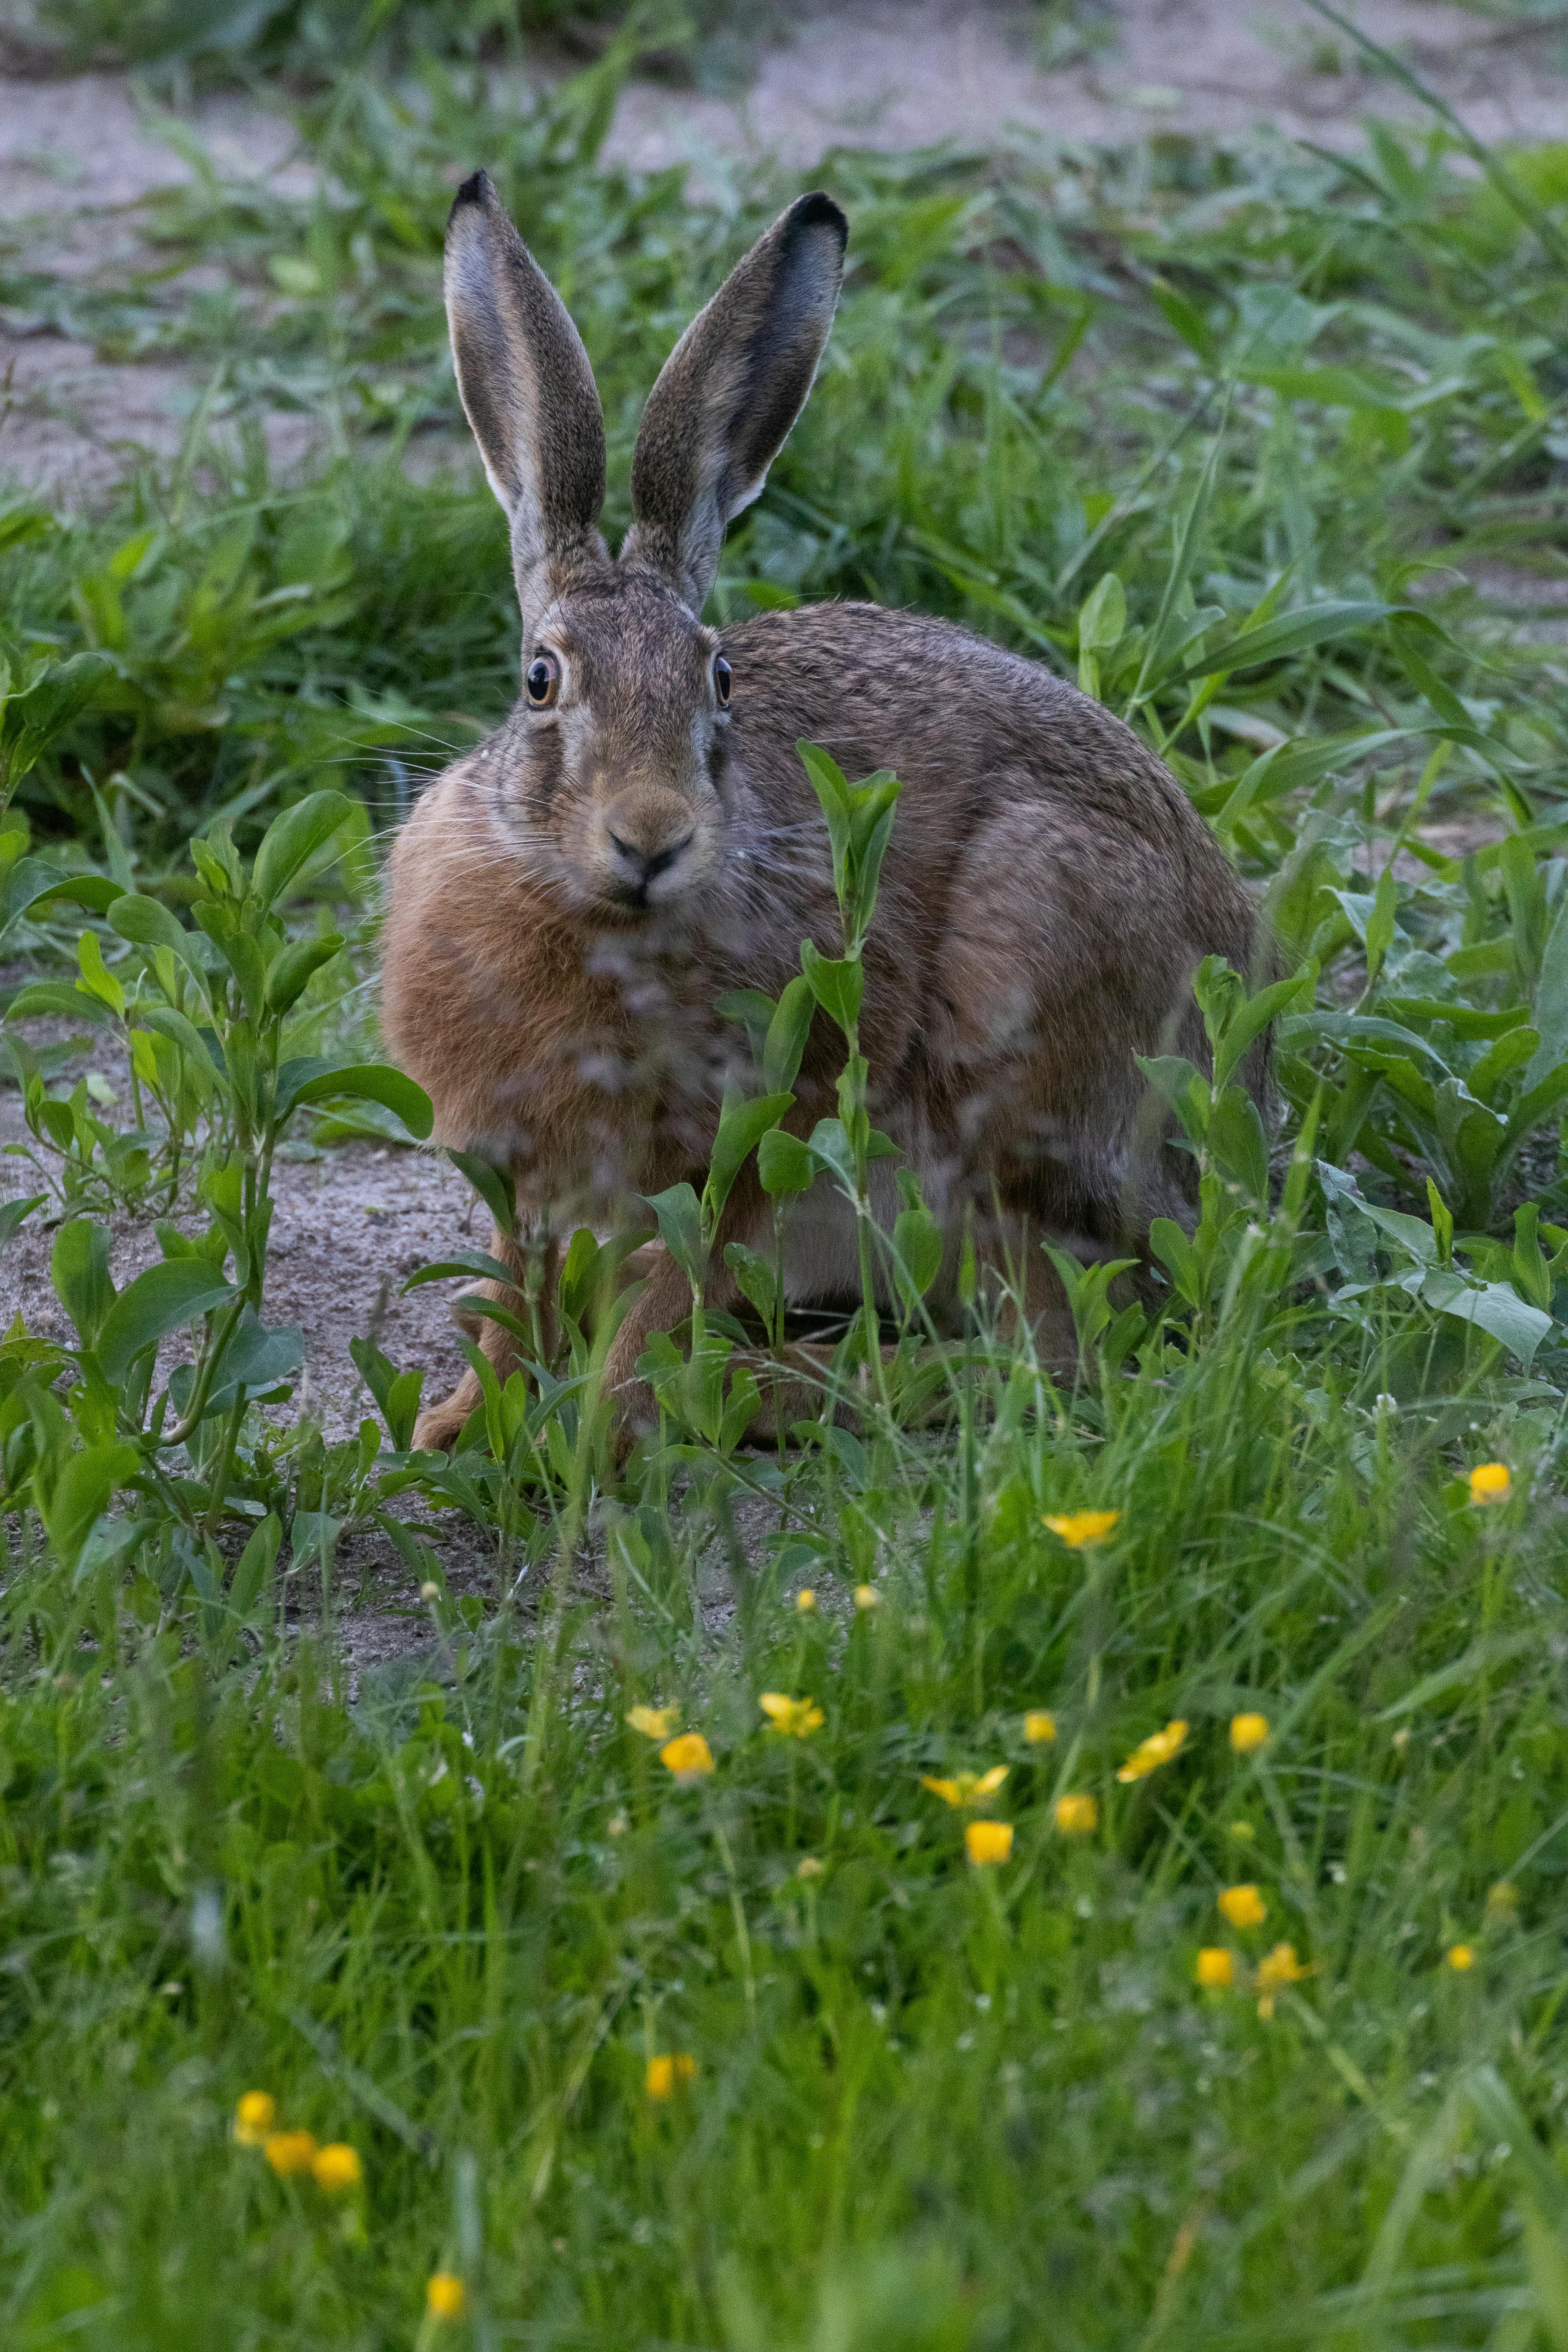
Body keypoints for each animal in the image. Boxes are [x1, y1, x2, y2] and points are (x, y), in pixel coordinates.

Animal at [381, 171, 1266, 1453]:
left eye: (719, 681)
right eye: (540, 681)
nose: (649, 838)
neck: (598, 923)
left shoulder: (762, 1131)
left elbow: (667, 1293)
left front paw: (591, 1435)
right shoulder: (524, 1172)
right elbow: (514, 1290)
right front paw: (459, 1428)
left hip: (1022, 1012)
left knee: (1059, 1348)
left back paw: (776, 1390)